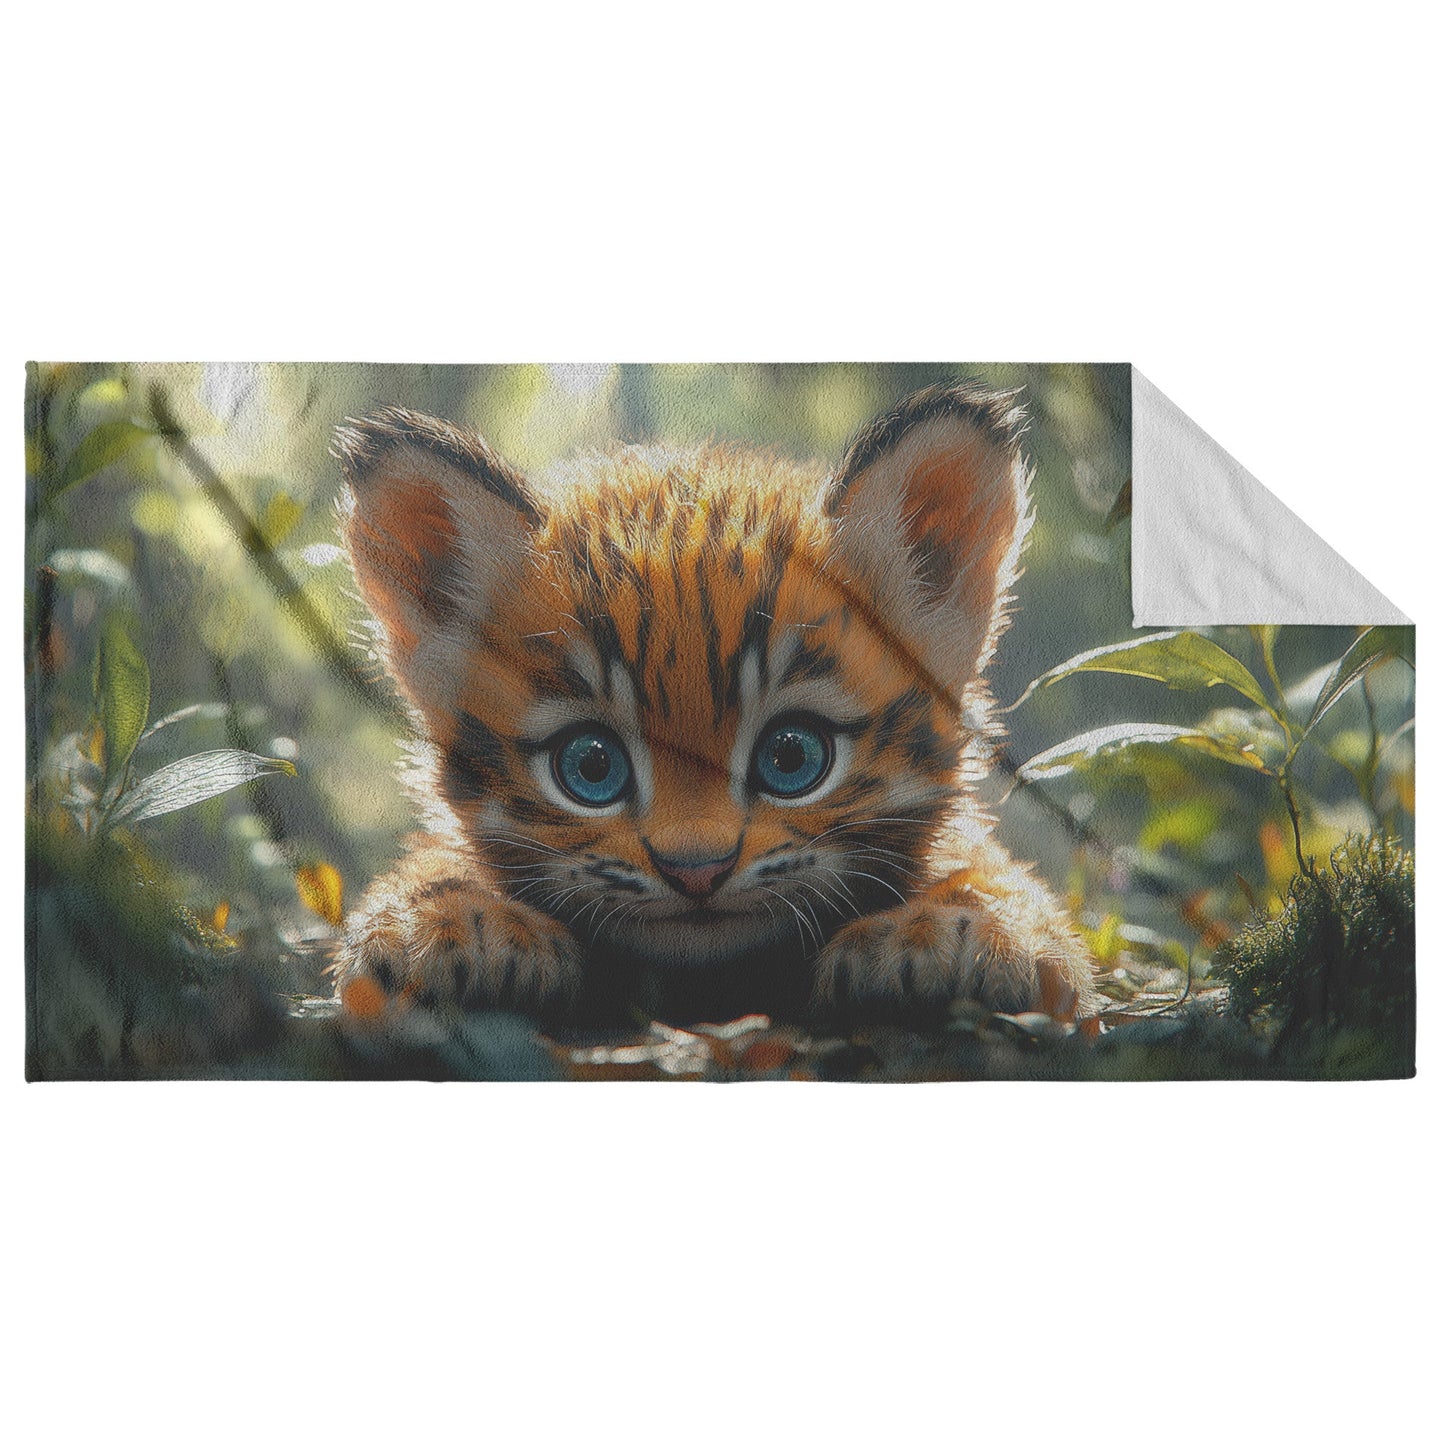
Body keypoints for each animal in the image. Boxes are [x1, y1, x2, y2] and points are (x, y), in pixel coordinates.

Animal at [328, 381, 1098, 1027]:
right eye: (591, 767)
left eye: (791, 756)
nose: (695, 870)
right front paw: (461, 920)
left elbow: (989, 870)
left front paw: (951, 925)